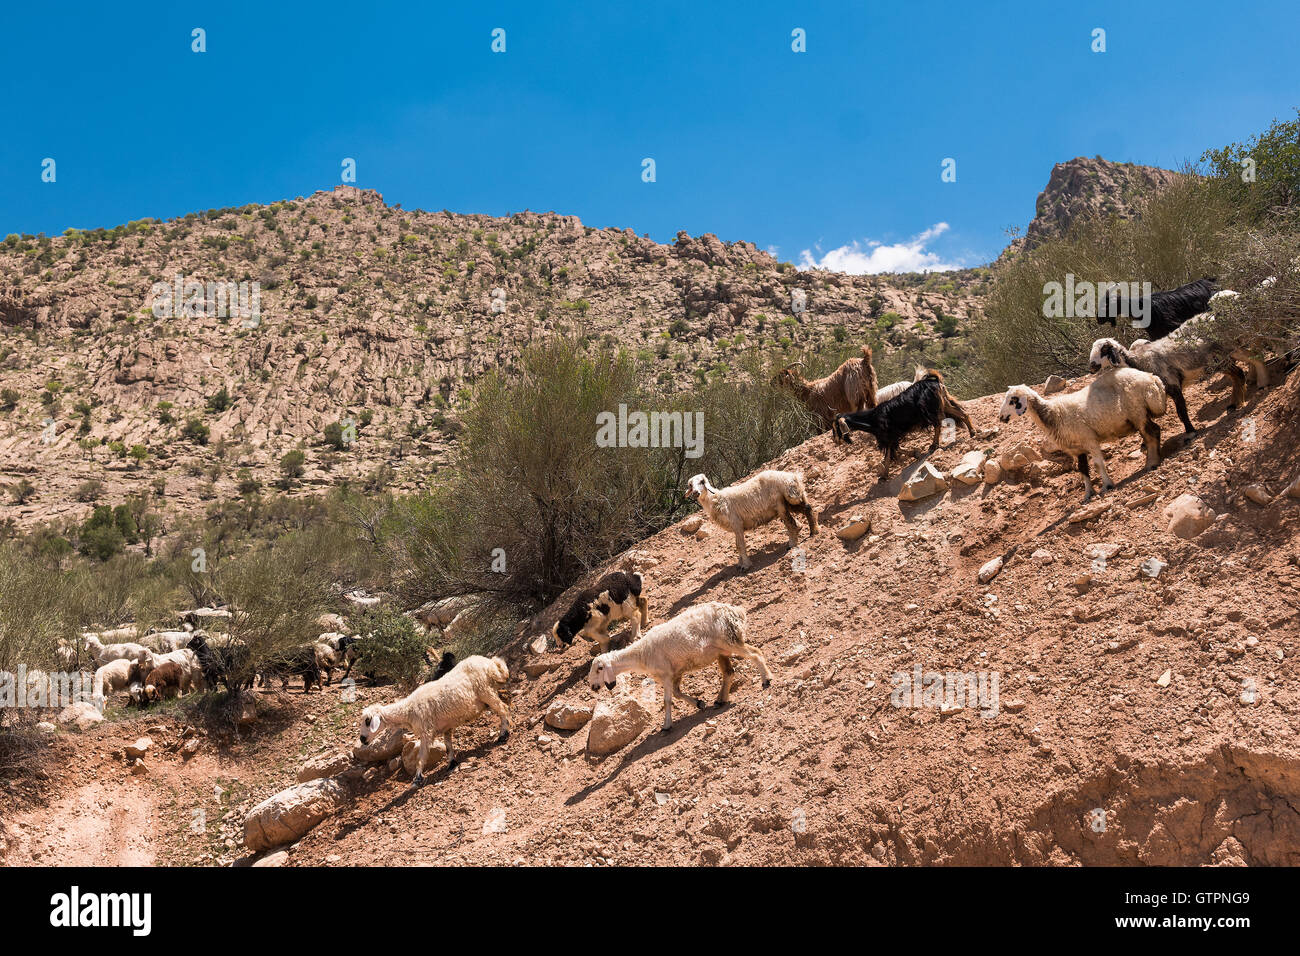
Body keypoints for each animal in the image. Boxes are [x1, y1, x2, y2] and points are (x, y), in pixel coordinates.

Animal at [357, 655, 510, 786]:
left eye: (368, 721)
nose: (362, 739)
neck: (408, 711)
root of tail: (491, 663)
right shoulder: (446, 727)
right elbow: (448, 746)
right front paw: (451, 763)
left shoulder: (426, 732)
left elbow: (421, 758)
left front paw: (418, 778)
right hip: (491, 692)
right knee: (506, 703)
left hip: (486, 691)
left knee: (503, 709)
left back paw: (503, 735)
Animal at [588, 602, 772, 733]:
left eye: (599, 669)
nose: (593, 687)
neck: (641, 654)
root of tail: (734, 611)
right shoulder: (675, 673)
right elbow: (677, 694)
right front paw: (699, 703)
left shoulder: (666, 674)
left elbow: (667, 700)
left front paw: (667, 725)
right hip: (721, 650)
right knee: (729, 673)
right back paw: (721, 700)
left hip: (729, 640)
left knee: (756, 654)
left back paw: (766, 680)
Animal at [685, 470, 818, 571]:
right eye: (690, 485)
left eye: (702, 482)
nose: (696, 493)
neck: (717, 499)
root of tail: (792, 476)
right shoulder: (736, 528)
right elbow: (737, 545)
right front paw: (740, 563)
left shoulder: (737, 523)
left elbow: (740, 545)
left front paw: (745, 565)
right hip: (791, 502)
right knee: (807, 509)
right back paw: (813, 531)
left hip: (786, 501)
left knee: (791, 522)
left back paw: (793, 543)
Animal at [831, 370, 976, 478]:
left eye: (836, 427)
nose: (835, 440)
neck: (872, 419)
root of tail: (934, 381)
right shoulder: (892, 436)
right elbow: (896, 449)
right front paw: (914, 453)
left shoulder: (888, 435)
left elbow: (890, 453)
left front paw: (884, 475)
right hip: (943, 403)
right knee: (961, 413)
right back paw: (972, 432)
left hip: (931, 408)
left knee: (938, 424)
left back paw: (934, 445)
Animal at [998, 367, 1166, 501]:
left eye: (1012, 400)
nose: (1001, 417)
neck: (1053, 414)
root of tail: (1152, 378)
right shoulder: (1077, 449)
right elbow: (1083, 470)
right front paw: (1088, 494)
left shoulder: (1089, 440)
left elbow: (1098, 464)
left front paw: (1107, 486)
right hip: (1139, 415)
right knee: (1154, 432)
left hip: (1138, 412)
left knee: (1152, 433)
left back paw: (1151, 463)